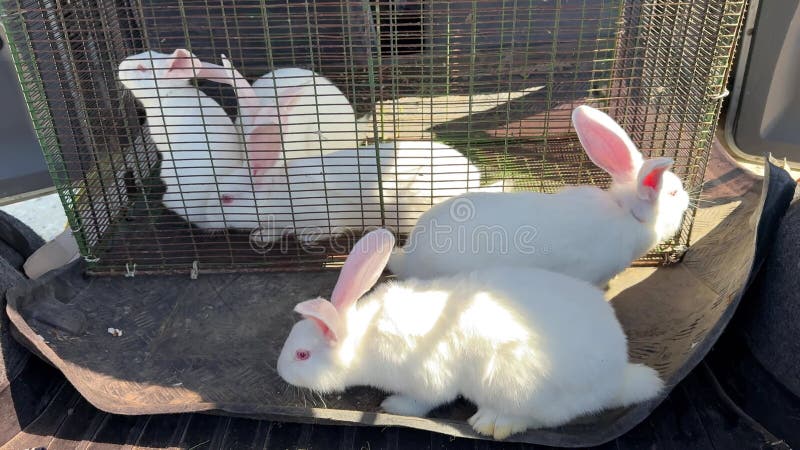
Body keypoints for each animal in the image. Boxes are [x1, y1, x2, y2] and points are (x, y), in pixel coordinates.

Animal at [192, 140, 498, 241]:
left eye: (227, 198)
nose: (202, 223)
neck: (278, 198)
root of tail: (473, 178)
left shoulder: (324, 219)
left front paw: (306, 238)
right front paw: (259, 237)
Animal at [277, 228, 663, 440]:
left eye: (302, 355)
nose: (280, 371)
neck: (362, 339)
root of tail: (617, 377)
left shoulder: (427, 379)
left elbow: (422, 402)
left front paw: (391, 405)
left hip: (516, 383)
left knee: (536, 417)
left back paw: (490, 422)